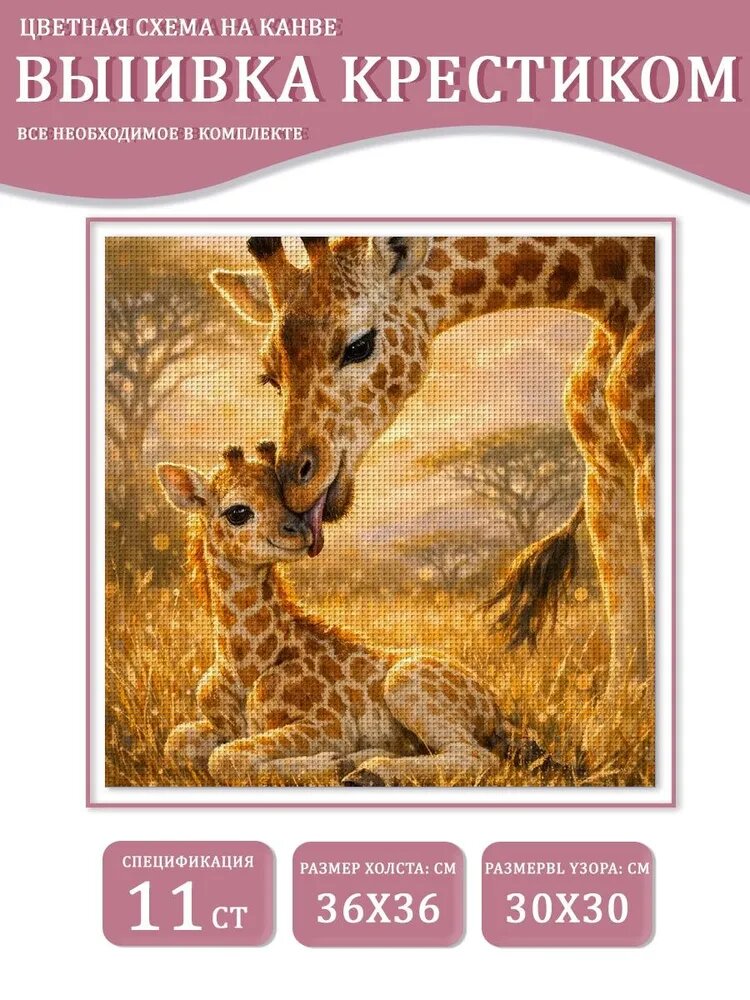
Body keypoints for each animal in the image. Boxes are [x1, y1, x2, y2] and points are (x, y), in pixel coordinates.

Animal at [157, 444, 571, 787]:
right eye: (238, 511)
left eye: (290, 499)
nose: (300, 532)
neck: (244, 662)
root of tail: (494, 709)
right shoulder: (221, 724)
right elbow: (177, 742)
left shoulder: (329, 723)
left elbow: (224, 758)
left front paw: (330, 764)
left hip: (406, 682)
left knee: (478, 758)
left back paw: (369, 770)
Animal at [210, 235, 655, 722]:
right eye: (269, 375)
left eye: (359, 345)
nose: (295, 485)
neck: (614, 293)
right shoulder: (605, 470)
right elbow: (624, 619)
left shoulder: (648, 457)